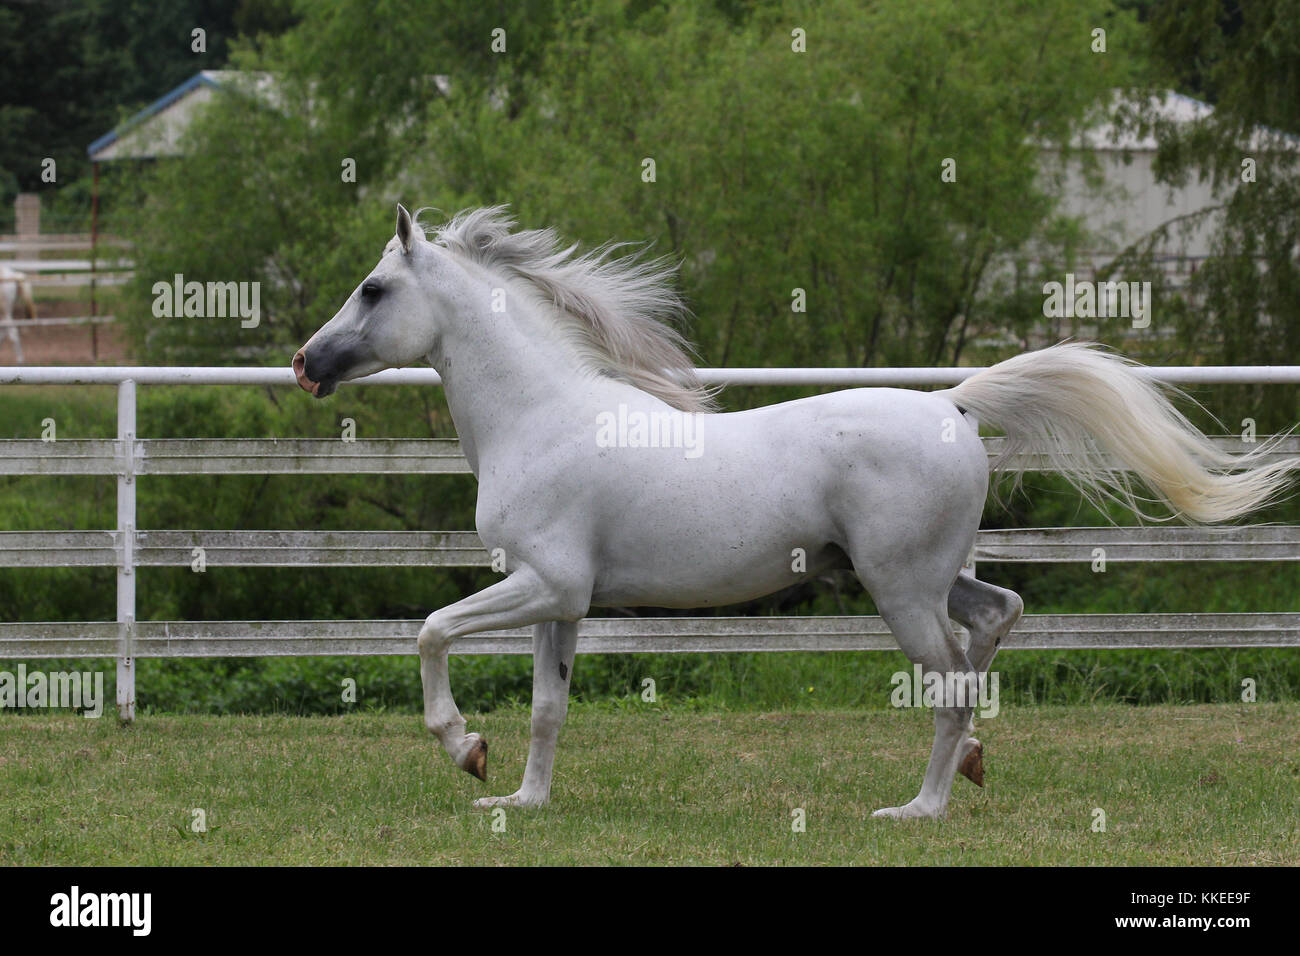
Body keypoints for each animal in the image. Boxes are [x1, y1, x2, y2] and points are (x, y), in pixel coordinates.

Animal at [292, 205, 1298, 818]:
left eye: (374, 289)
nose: (306, 363)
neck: (540, 417)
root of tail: (954, 405)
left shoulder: (545, 584)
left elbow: (430, 630)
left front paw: (462, 746)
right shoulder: (561, 601)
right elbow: (548, 708)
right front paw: (516, 799)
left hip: (900, 588)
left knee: (950, 682)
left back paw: (919, 808)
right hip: (920, 576)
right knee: (998, 617)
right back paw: (972, 764)